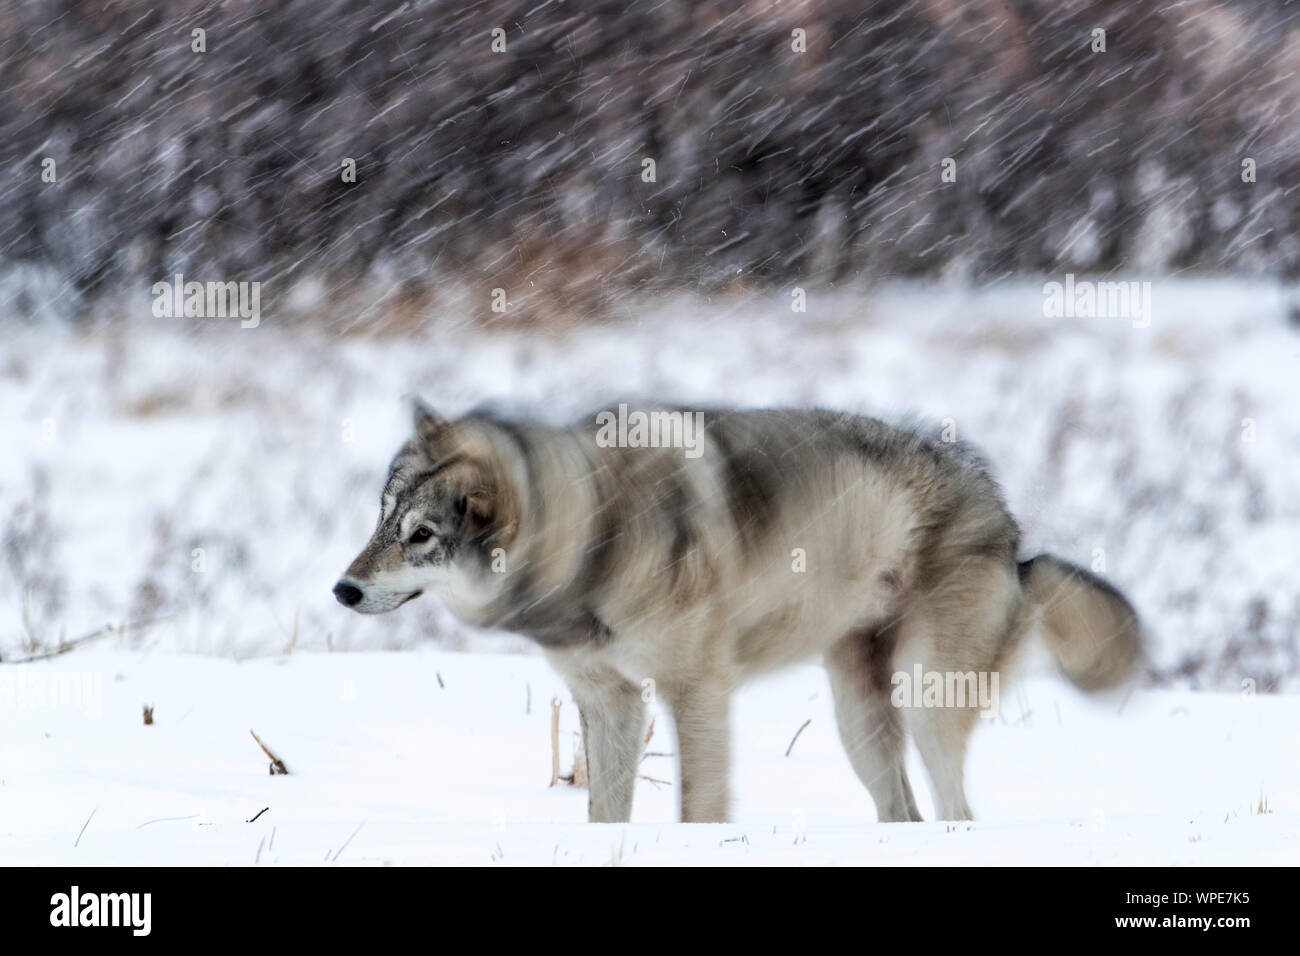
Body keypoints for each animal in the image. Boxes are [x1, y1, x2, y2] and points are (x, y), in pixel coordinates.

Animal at [335, 403, 1142, 823]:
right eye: (381, 519)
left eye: (420, 537)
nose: (343, 590)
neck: (594, 537)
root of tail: (1012, 536)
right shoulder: (610, 702)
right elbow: (606, 811)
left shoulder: (697, 692)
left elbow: (701, 805)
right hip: (860, 723)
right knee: (904, 813)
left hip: (924, 698)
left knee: (956, 812)